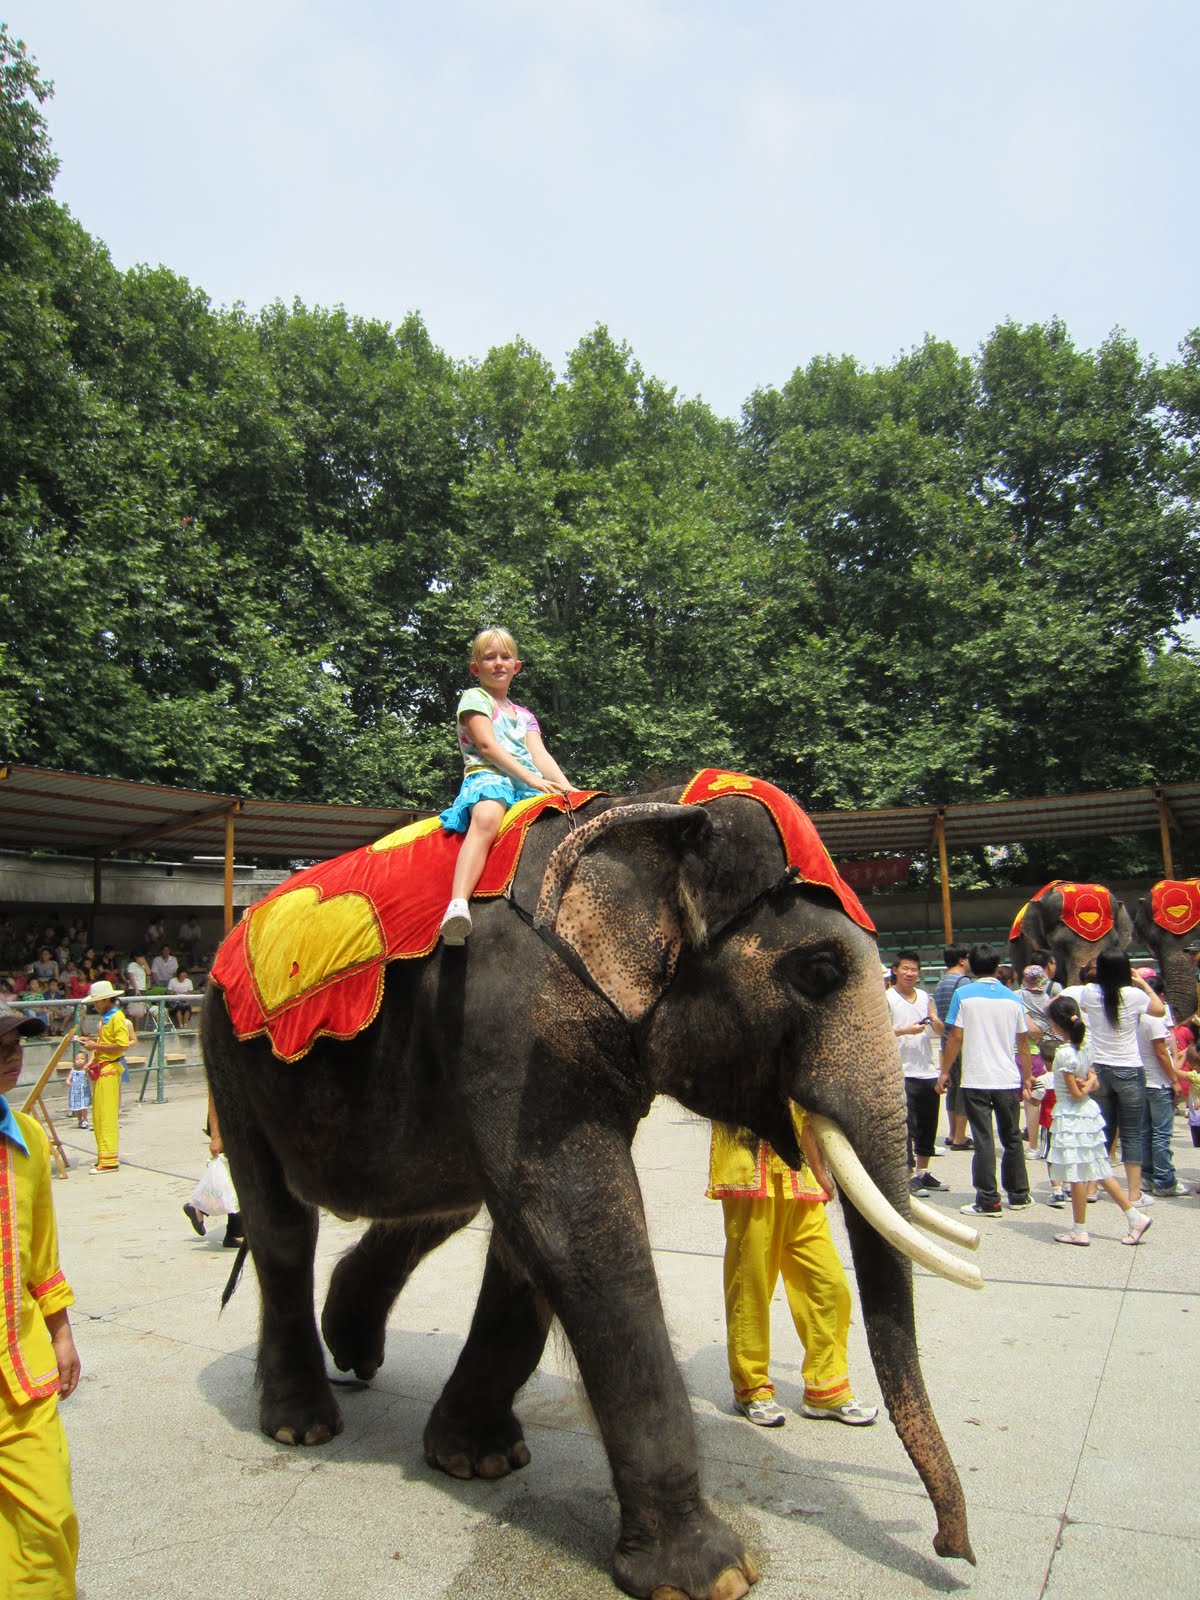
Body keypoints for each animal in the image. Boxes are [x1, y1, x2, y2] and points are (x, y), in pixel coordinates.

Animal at [202, 779, 978, 1599]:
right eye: (819, 969)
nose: (952, 1549)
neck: (653, 812)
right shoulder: (510, 1016)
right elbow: (576, 1227)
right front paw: (710, 1576)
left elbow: (534, 1232)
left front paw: (479, 1460)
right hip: (228, 1053)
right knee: (283, 1226)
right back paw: (301, 1424)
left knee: (439, 1198)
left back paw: (353, 1347)